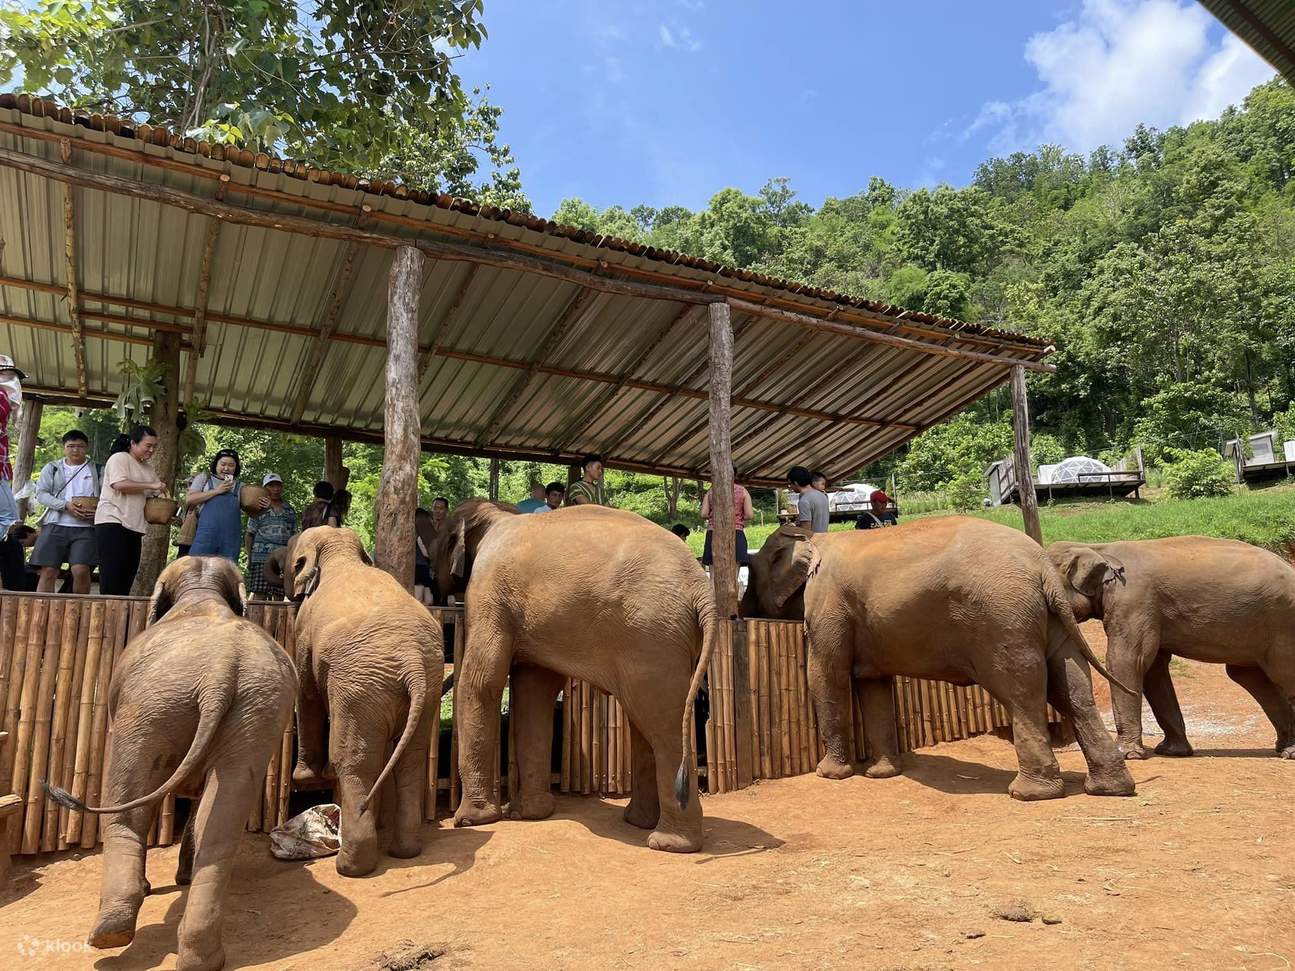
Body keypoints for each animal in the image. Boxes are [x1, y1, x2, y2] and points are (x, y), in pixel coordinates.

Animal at [43, 556, 297, 971]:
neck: (201, 590)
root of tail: (220, 670)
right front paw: (182, 878)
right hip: (256, 709)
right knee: (221, 815)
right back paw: (201, 957)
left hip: (148, 707)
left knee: (129, 803)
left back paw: (110, 933)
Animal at [288, 526, 443, 876]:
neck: (340, 552)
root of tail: (411, 659)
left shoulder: (303, 629)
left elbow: (307, 693)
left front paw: (303, 778)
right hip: (427, 684)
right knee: (411, 758)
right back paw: (404, 852)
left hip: (359, 689)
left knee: (355, 761)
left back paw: (349, 867)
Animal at [434, 500, 717, 852]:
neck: (500, 515)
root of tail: (701, 586)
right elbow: (533, 691)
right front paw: (527, 814)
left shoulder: (488, 591)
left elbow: (482, 682)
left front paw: (471, 820)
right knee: (644, 724)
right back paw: (639, 822)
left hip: (653, 636)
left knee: (661, 725)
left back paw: (668, 843)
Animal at [739, 517, 1136, 801]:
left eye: (752, 574)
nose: (739, 613)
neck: (813, 537)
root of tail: (1042, 568)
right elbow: (872, 684)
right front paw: (882, 774)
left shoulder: (828, 602)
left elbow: (827, 675)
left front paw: (831, 774)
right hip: (1047, 619)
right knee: (1072, 687)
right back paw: (1109, 789)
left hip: (1002, 620)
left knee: (1021, 690)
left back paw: (1029, 794)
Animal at [1048, 537, 1295, 760]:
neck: (1097, 548)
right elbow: (1154, 670)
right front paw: (1172, 751)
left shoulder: (1133, 602)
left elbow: (1127, 661)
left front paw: (1127, 754)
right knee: (1248, 676)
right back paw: (1284, 748)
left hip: (1282, 623)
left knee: (1281, 674)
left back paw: (1290, 752)